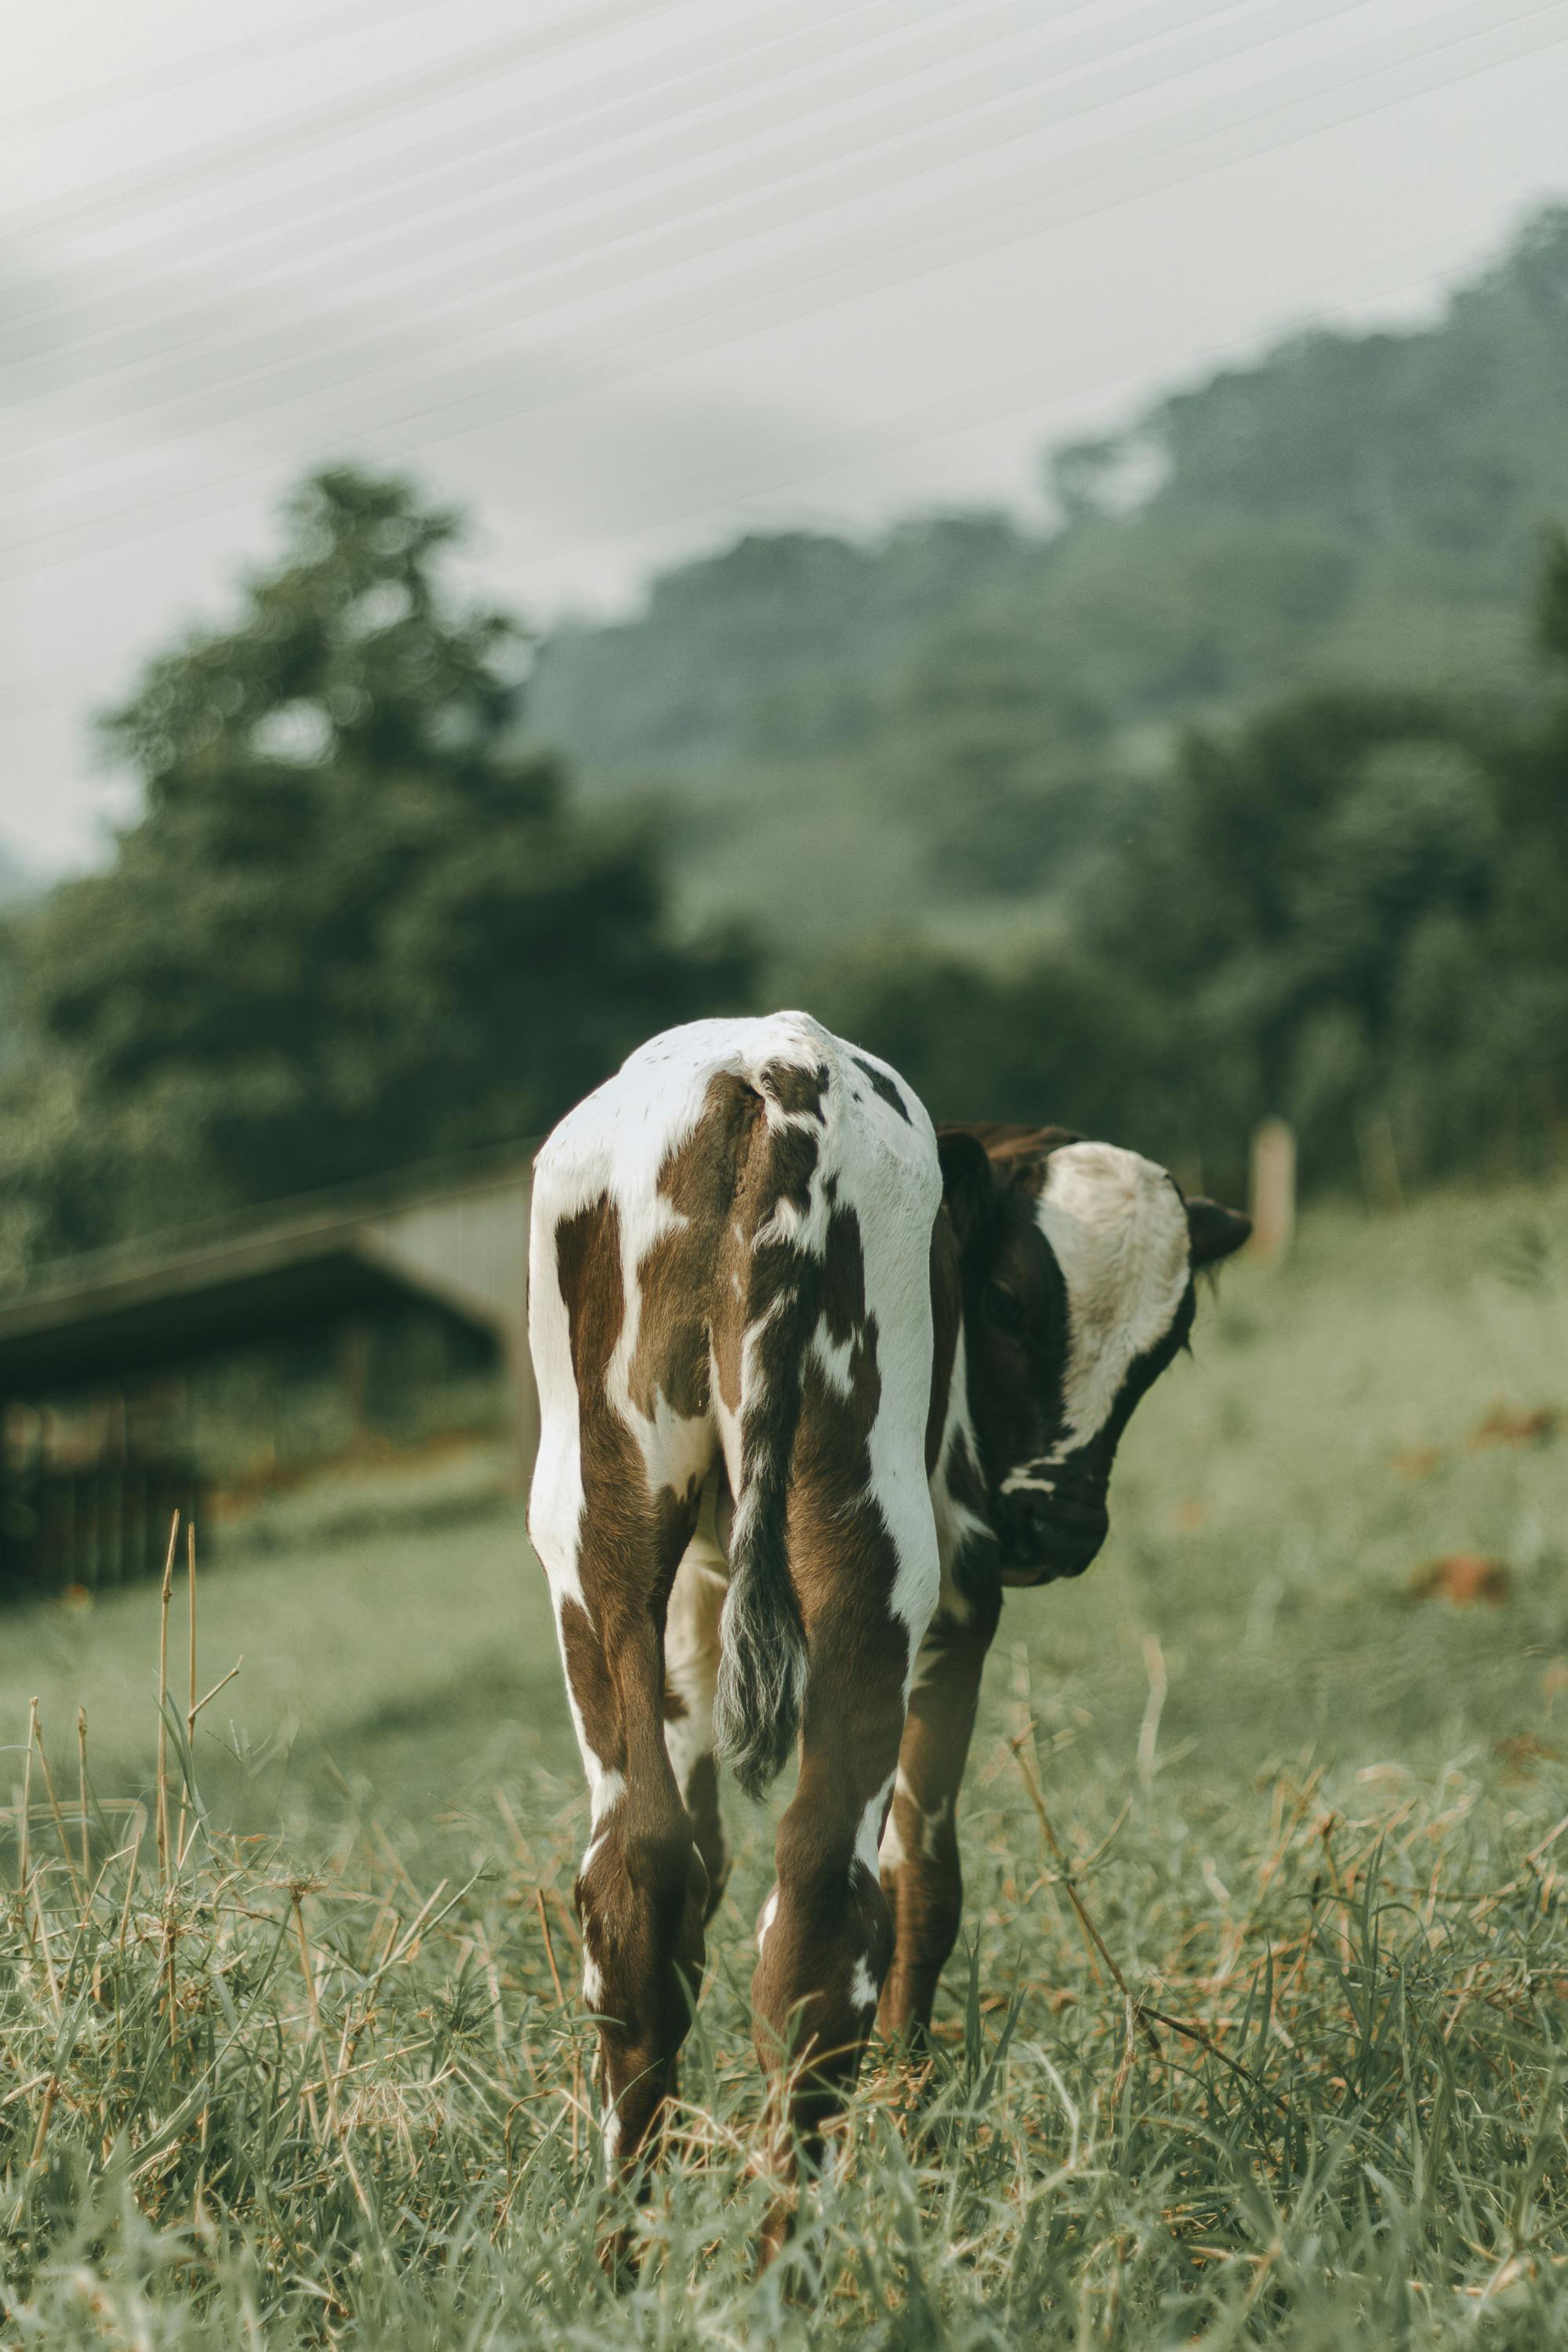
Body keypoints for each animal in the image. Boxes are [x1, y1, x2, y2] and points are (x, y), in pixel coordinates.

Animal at [526, 1013, 1247, 2253]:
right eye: (1004, 1301)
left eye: (1164, 1350)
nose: (1057, 1524)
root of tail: (771, 1083)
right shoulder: (962, 1598)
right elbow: (928, 1881)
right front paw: (914, 2127)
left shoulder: (699, 1605)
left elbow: (703, 1873)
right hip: (876, 1551)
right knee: (830, 1893)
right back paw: (785, 2250)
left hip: (599, 1535)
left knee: (644, 1883)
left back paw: (629, 2248)